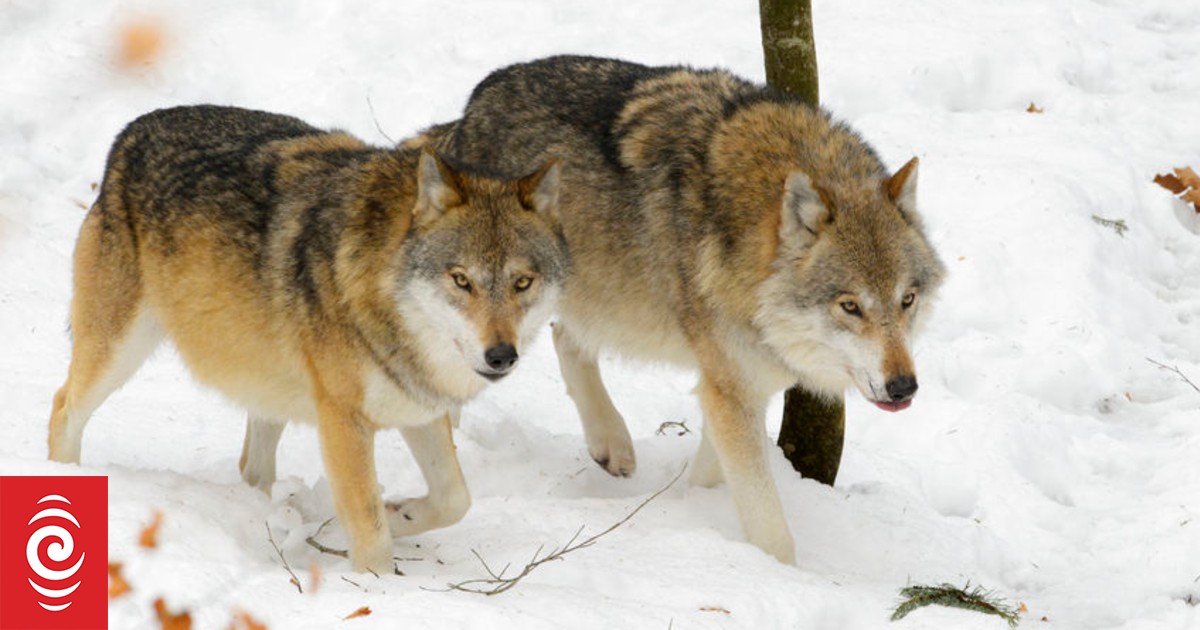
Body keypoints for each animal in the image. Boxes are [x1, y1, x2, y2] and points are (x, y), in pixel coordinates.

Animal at [48, 105, 566, 573]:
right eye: (461, 280)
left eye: (522, 283)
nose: (500, 356)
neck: (379, 283)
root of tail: (131, 131)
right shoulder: (342, 419)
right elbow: (370, 533)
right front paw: (380, 589)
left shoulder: (419, 406)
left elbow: (455, 498)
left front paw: (400, 514)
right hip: (118, 353)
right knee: (63, 407)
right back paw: (63, 478)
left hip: (263, 385)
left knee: (252, 468)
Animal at [419, 55, 945, 564]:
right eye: (850, 306)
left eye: (907, 299)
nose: (904, 386)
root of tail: (473, 106)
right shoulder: (731, 389)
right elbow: (770, 525)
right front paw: (782, 574)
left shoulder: (735, 382)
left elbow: (713, 470)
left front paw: (693, 508)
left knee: (566, 338)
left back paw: (610, 443)